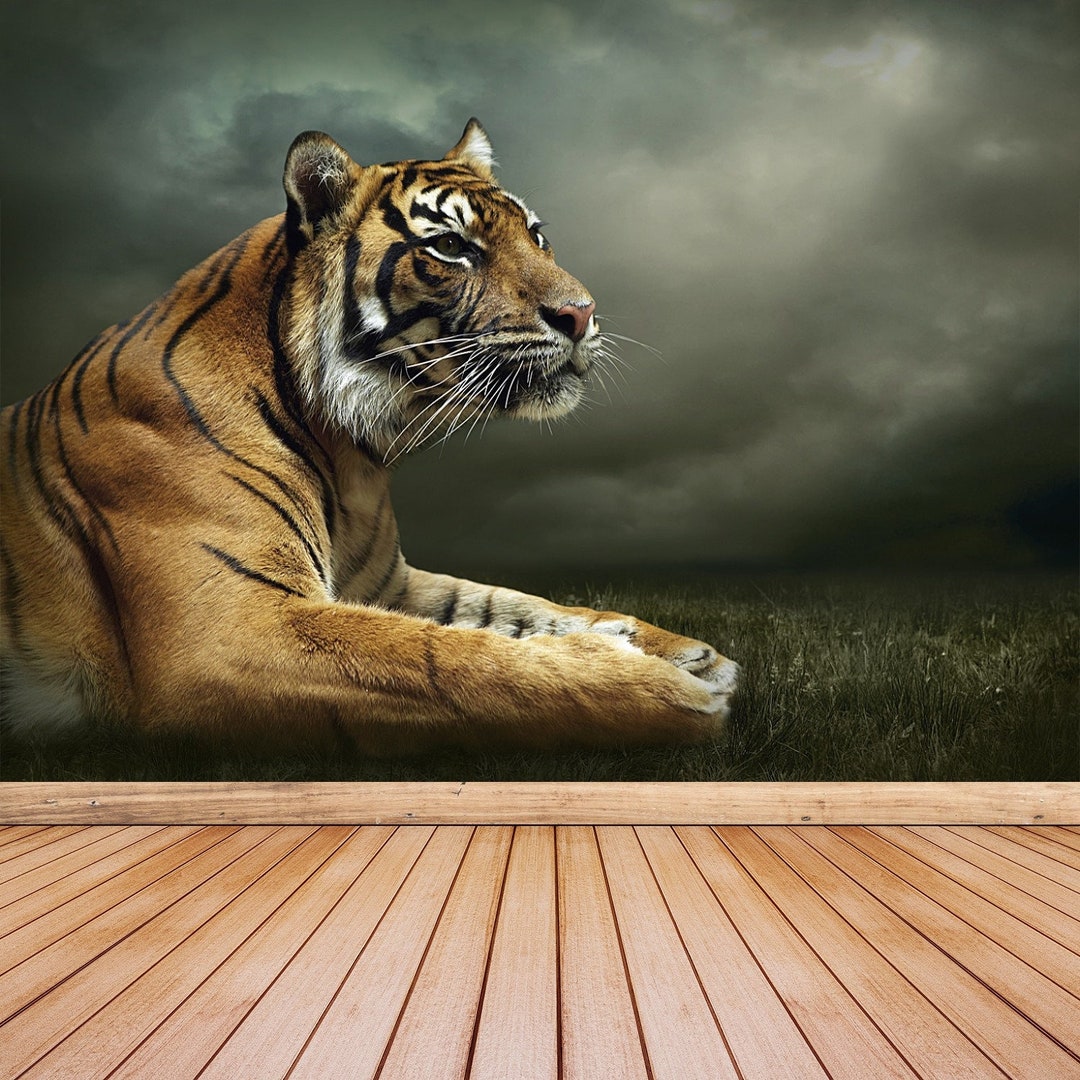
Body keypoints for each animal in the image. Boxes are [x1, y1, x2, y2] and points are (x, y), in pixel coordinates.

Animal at [0, 119, 739, 755]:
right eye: (451, 247)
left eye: (535, 234)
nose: (582, 315)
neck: (348, 453)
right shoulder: (228, 629)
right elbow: (449, 661)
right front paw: (666, 687)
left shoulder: (388, 585)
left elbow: (511, 606)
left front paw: (685, 651)